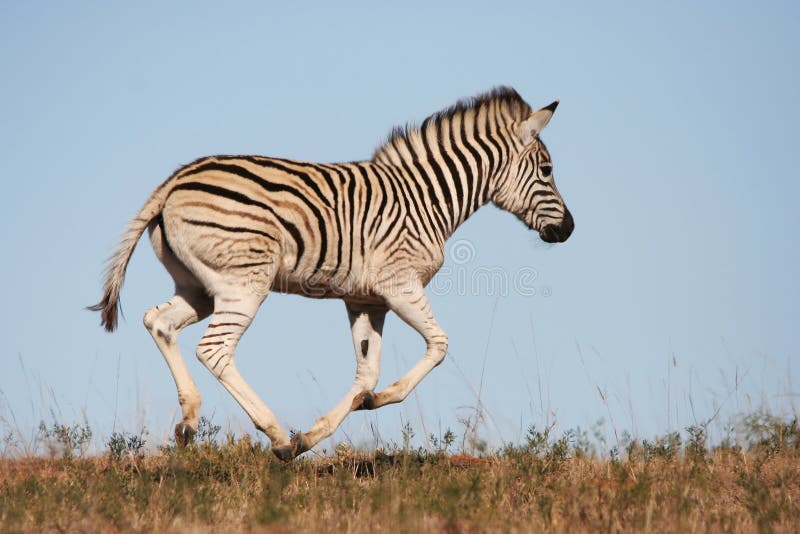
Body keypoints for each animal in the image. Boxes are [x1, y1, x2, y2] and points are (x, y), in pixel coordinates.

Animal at [90, 87, 572, 460]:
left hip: (200, 287)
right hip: (245, 282)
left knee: (159, 322)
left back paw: (190, 420)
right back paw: (275, 435)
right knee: (214, 350)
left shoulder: (365, 300)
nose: (569, 229)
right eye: (547, 171)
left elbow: (366, 375)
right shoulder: (399, 284)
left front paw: (323, 429)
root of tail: (172, 182)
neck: (427, 200)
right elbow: (438, 346)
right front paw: (358, 410)